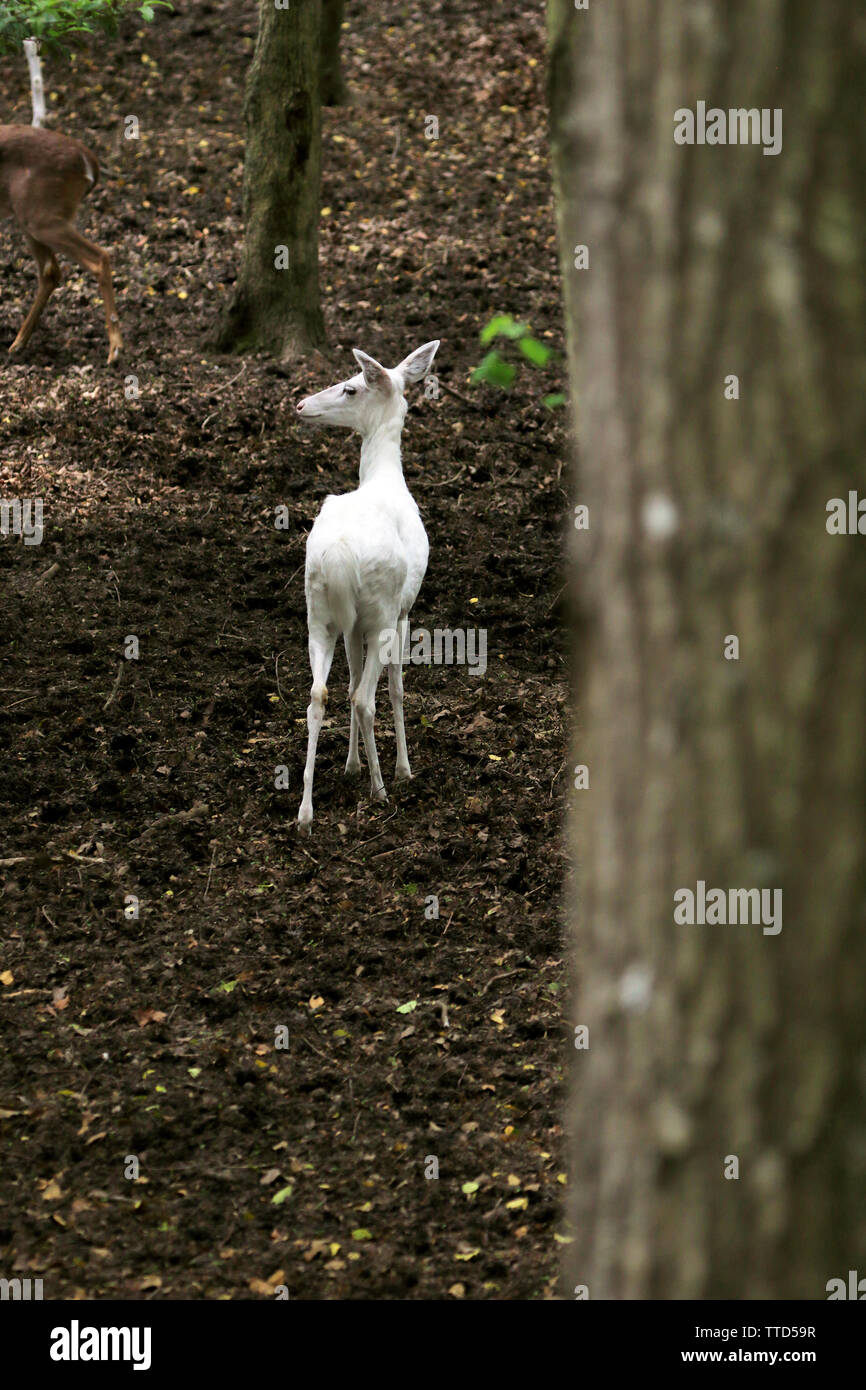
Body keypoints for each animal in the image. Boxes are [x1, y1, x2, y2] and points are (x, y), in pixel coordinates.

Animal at [0, 125, 122, 364]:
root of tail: (89, 162)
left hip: (42, 216)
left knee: (98, 257)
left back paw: (115, 349)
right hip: (32, 217)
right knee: (51, 272)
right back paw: (18, 343)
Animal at [295, 340, 440, 830]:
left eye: (350, 387)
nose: (300, 404)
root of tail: (339, 552)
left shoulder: (350, 624)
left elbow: (348, 678)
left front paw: (350, 765)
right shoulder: (403, 609)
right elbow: (396, 688)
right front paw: (401, 769)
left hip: (318, 610)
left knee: (318, 694)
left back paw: (305, 813)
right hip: (379, 609)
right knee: (364, 698)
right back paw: (381, 790)